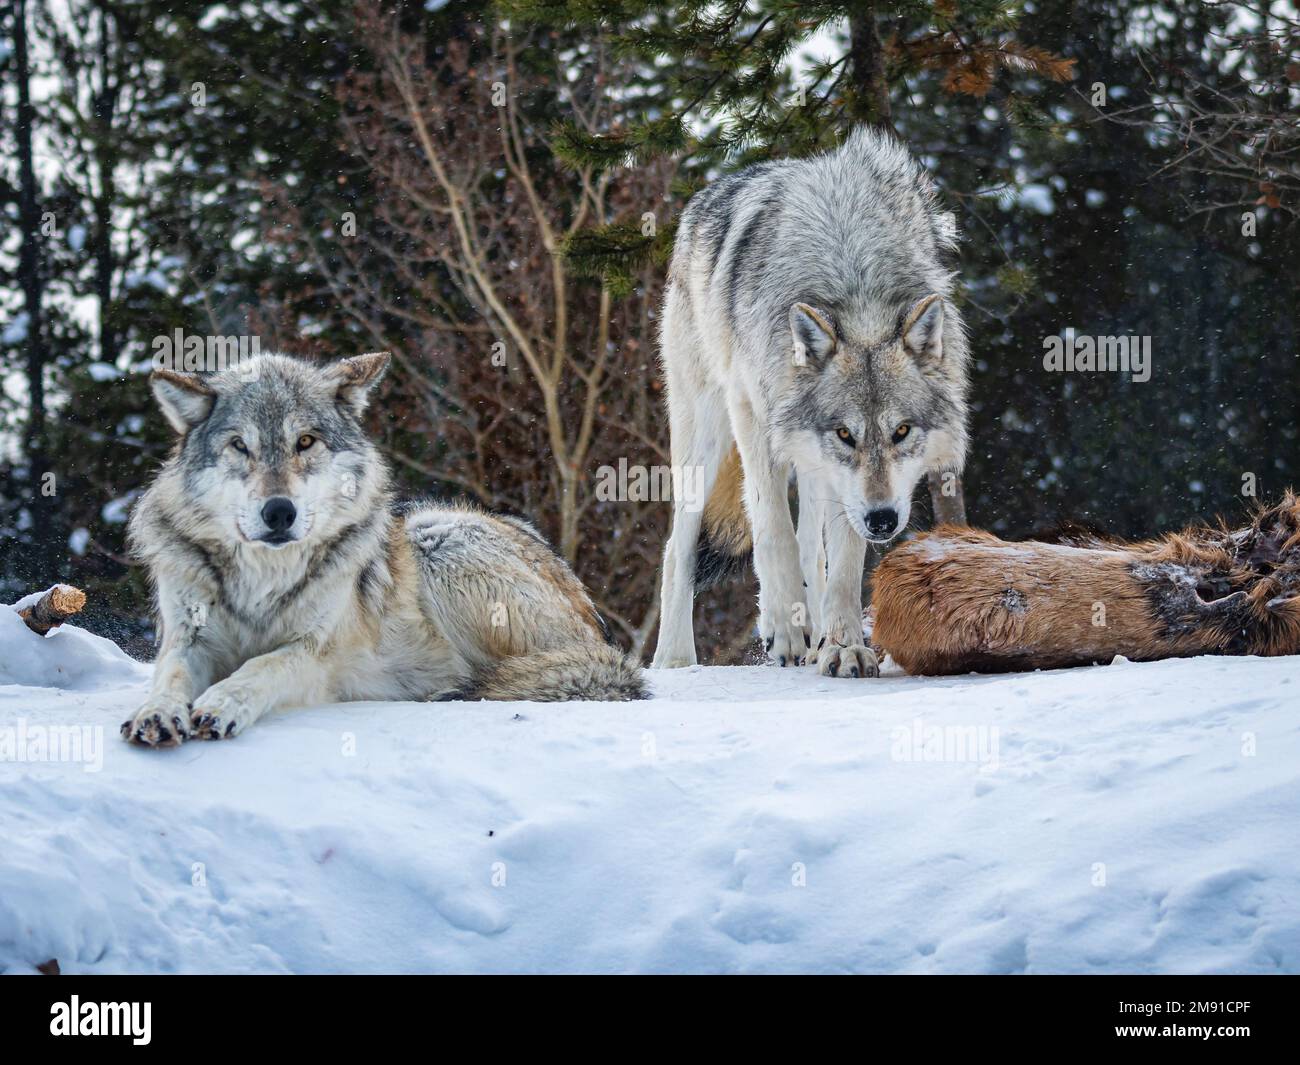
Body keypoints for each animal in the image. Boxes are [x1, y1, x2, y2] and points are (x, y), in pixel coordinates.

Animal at [122, 352, 644, 747]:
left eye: (305, 442)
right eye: (239, 446)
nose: (279, 513)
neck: (264, 577)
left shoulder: (314, 652)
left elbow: (260, 666)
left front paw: (220, 703)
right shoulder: (187, 639)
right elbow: (168, 676)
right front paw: (156, 713)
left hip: (438, 535)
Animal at [651, 127, 971, 677]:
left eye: (902, 431)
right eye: (845, 433)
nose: (883, 521)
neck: (855, 286)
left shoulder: (850, 487)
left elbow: (842, 559)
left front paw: (843, 645)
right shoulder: (754, 416)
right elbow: (772, 528)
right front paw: (784, 625)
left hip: (813, 468)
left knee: (812, 547)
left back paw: (819, 631)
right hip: (705, 436)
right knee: (679, 547)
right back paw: (676, 659)